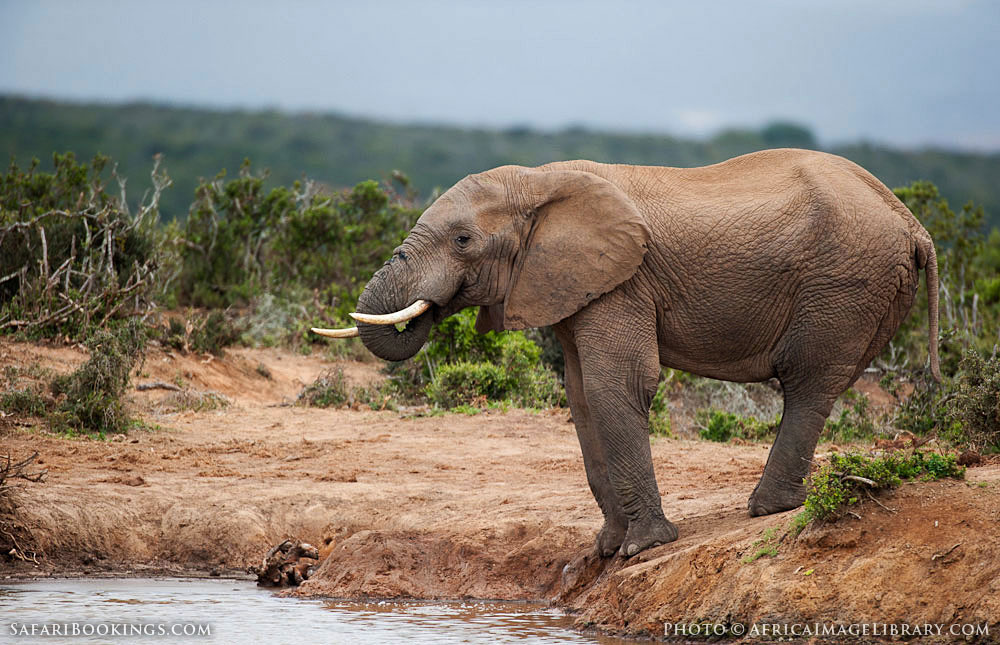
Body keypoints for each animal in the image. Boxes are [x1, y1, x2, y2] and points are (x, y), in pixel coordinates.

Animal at [314, 148, 940, 558]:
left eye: (463, 241)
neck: (539, 182)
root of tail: (913, 223)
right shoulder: (570, 283)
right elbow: (582, 395)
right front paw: (605, 550)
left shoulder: (624, 281)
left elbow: (618, 385)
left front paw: (642, 549)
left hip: (844, 281)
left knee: (809, 382)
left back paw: (769, 509)